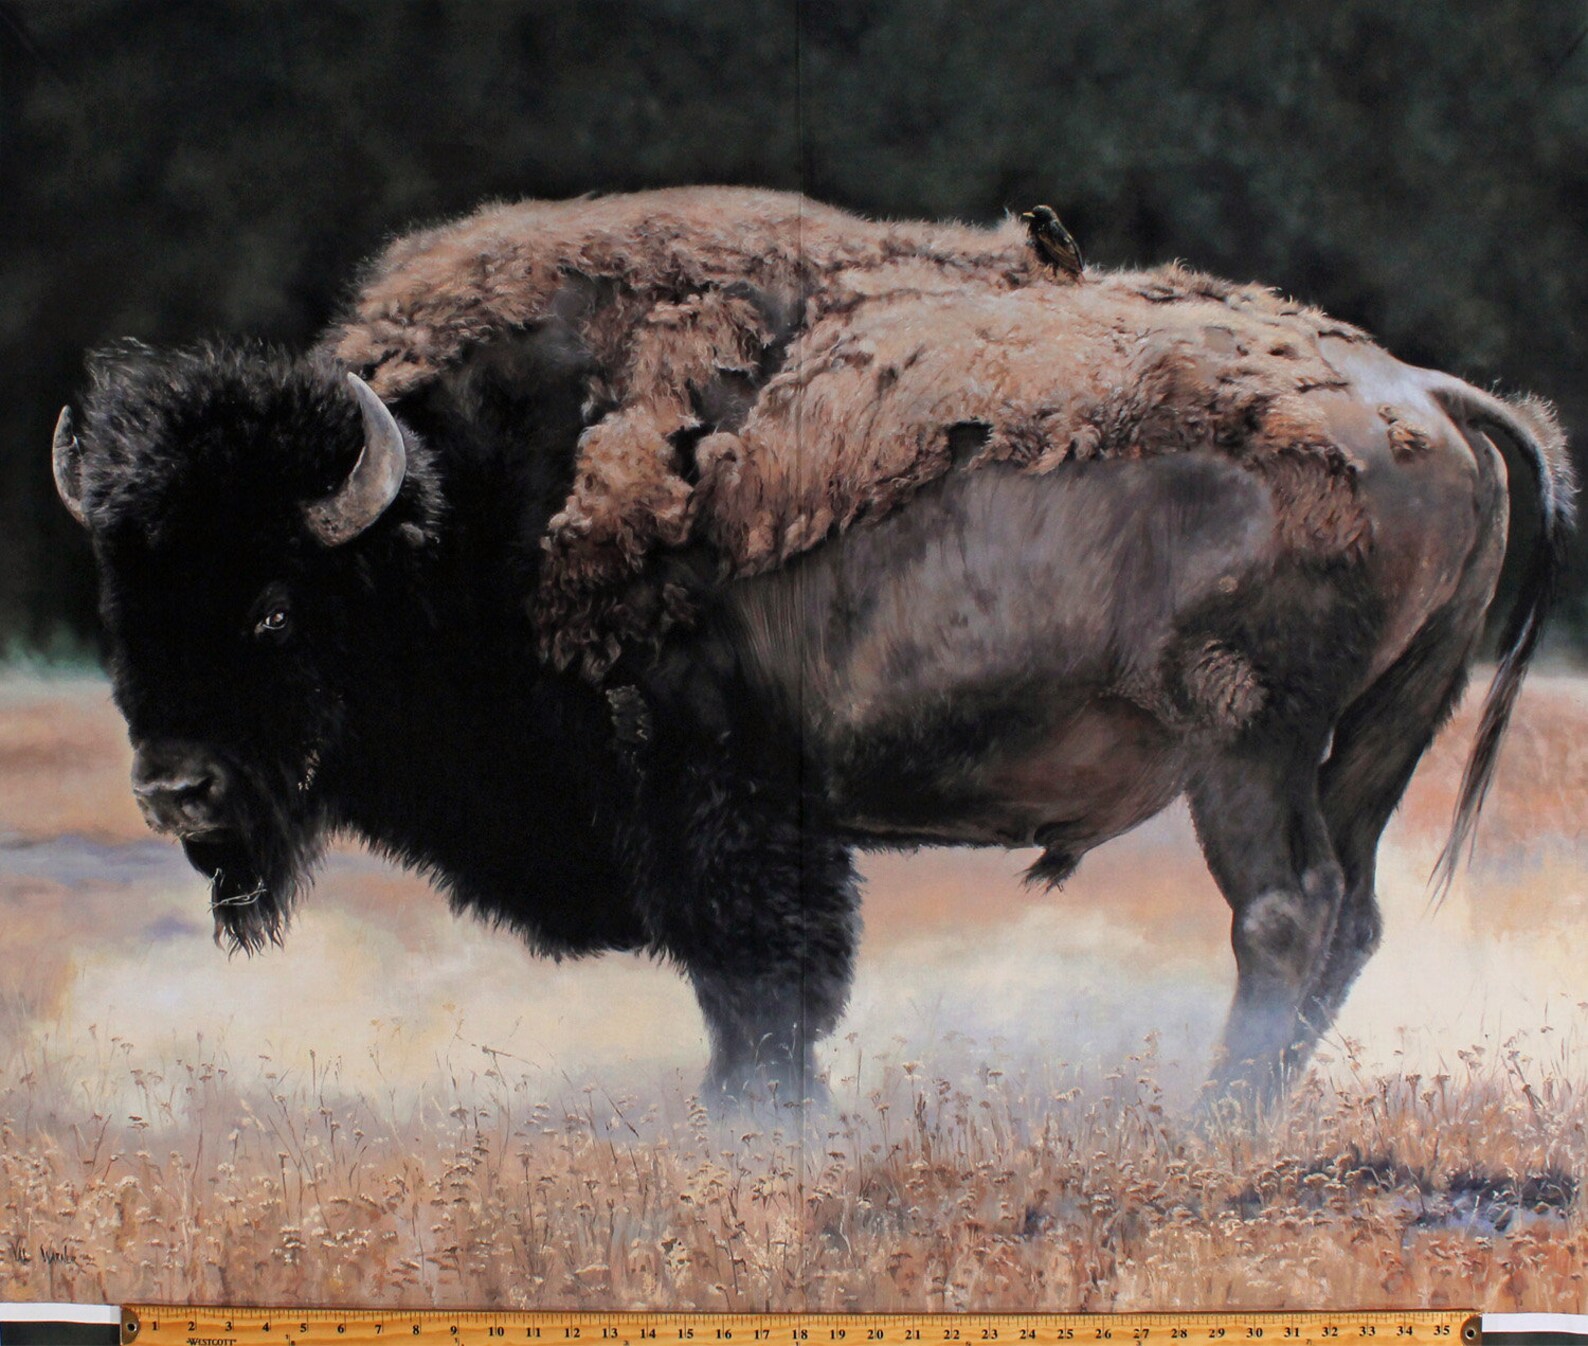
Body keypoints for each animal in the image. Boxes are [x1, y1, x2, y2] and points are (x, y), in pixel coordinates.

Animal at [53, 188, 1574, 1107]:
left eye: (271, 604)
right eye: (124, 600)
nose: (176, 788)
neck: (463, 494)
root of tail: (1426, 392)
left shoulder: (710, 804)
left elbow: (759, 983)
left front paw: (758, 1120)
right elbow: (764, 988)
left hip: (1246, 744)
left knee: (1283, 913)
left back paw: (1195, 1127)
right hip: (1374, 740)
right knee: (1352, 914)